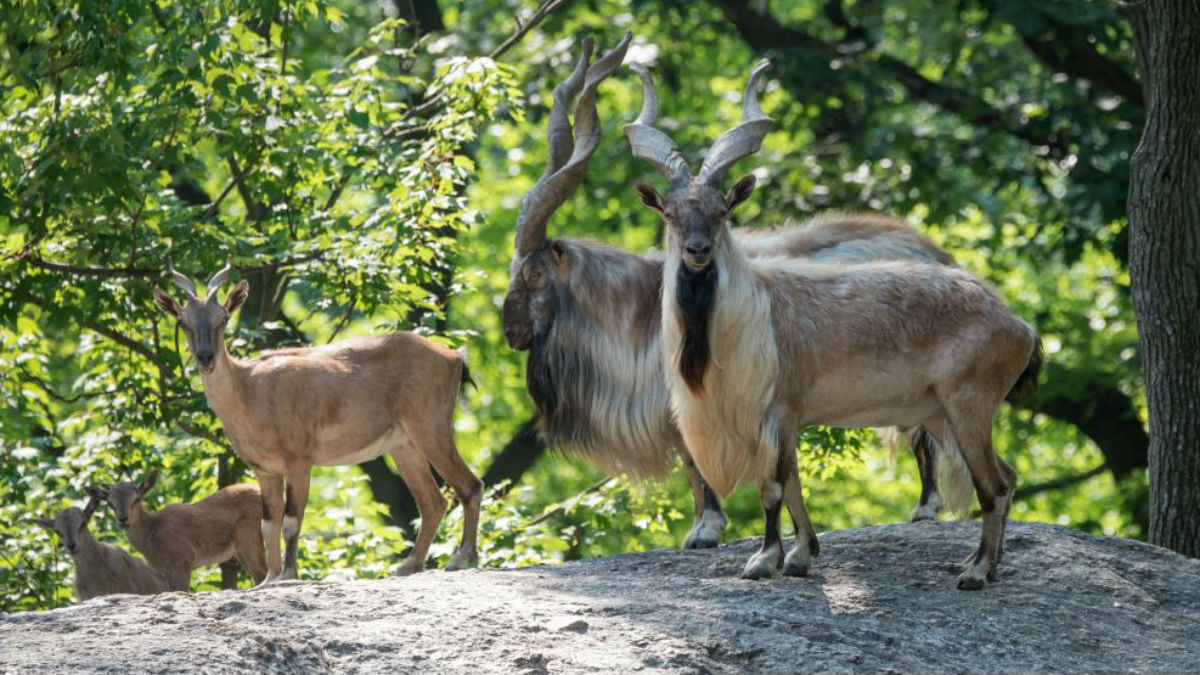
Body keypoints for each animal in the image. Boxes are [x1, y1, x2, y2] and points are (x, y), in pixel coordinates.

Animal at [87, 473, 267, 591]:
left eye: (136, 499)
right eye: (110, 503)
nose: (123, 519)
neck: (151, 533)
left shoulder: (184, 560)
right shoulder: (166, 571)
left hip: (247, 538)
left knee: (261, 574)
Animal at [153, 267, 482, 582]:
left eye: (223, 318)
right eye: (182, 320)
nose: (205, 357)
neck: (249, 391)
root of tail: (455, 357)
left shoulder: (299, 459)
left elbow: (290, 520)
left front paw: (288, 574)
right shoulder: (265, 471)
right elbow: (268, 524)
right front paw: (270, 578)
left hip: (431, 428)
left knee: (470, 486)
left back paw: (460, 560)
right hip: (404, 446)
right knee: (432, 502)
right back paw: (408, 566)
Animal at [503, 35, 955, 550]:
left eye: (534, 273)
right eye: (669, 214)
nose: (511, 330)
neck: (637, 309)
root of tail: (934, 252)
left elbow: (697, 463)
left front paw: (706, 529)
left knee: (926, 434)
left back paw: (926, 508)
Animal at [626, 59, 1041, 589]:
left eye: (722, 212)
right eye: (670, 213)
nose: (697, 252)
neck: (750, 317)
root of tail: (1019, 326)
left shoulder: (773, 413)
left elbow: (772, 487)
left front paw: (764, 560)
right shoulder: (787, 419)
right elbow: (794, 484)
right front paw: (801, 556)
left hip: (969, 405)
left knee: (993, 486)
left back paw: (978, 571)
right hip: (942, 413)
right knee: (1006, 476)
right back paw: (981, 560)